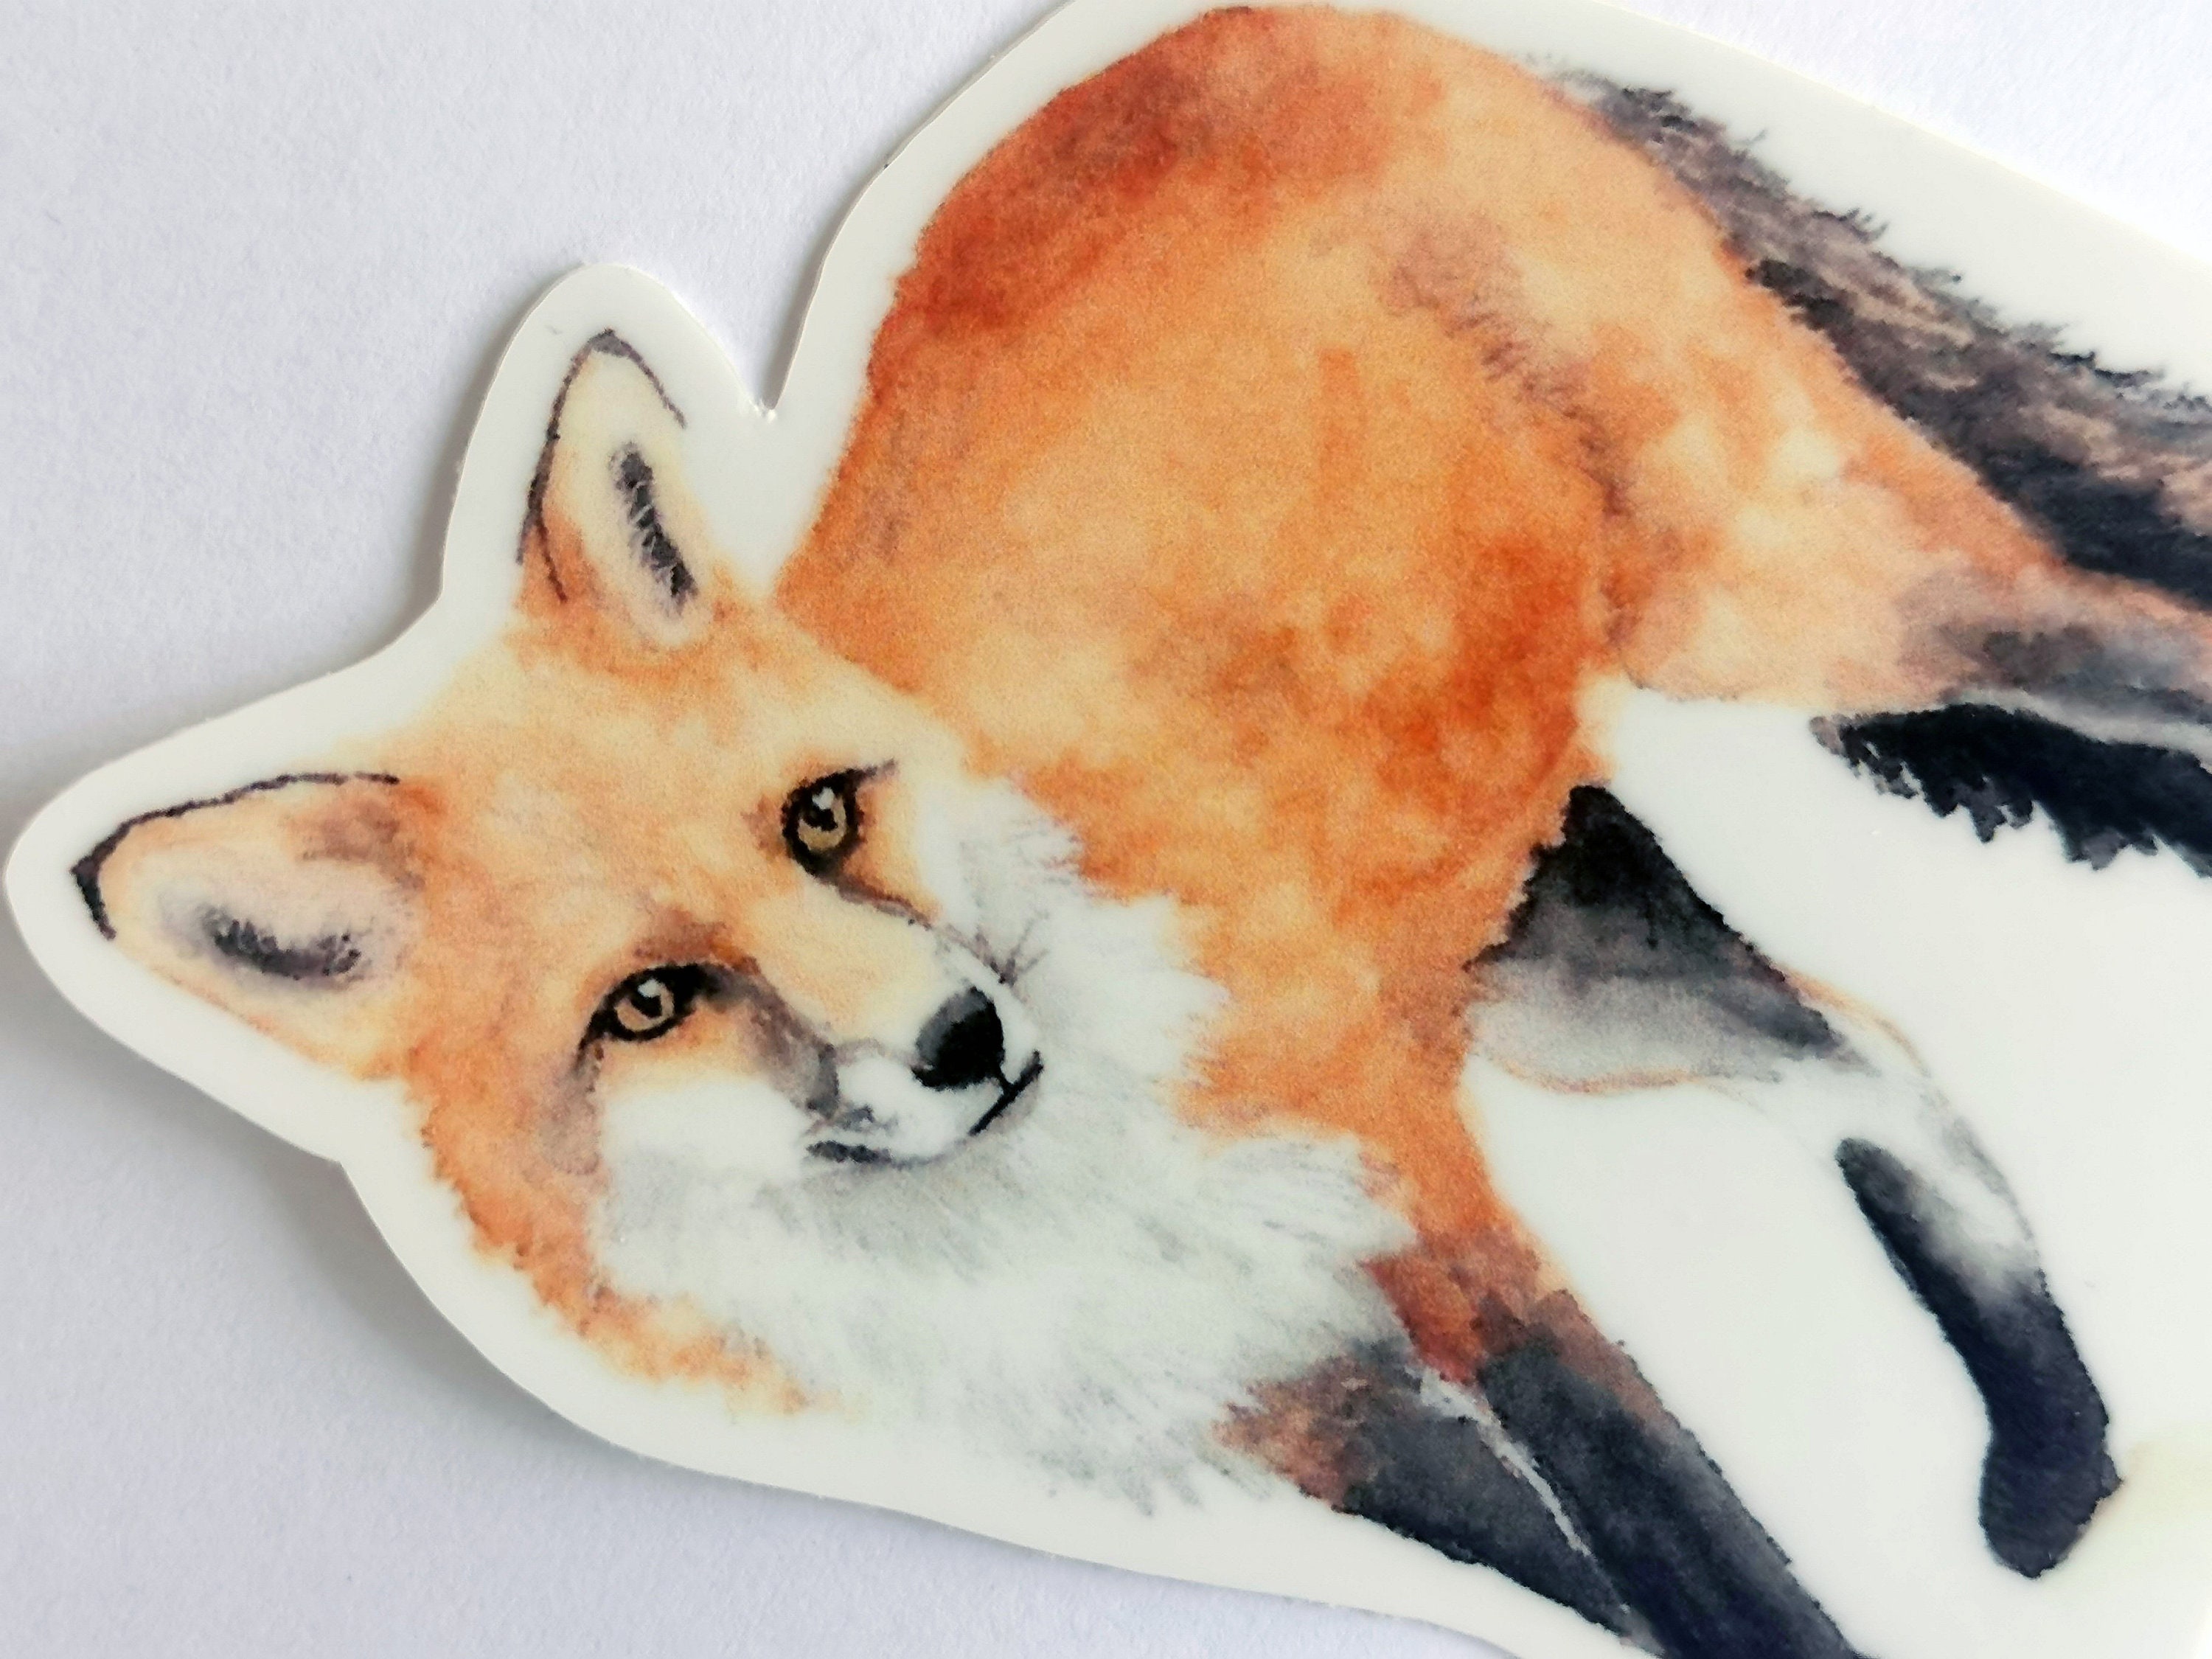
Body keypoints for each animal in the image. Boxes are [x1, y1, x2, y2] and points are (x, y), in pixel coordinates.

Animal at [30, 7, 2212, 1657]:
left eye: (820, 814)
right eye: (648, 1003)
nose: (959, 1042)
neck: (1024, 1221)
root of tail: (1227, 24)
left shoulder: (1435, 1228)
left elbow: (1712, 1561)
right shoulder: (1293, 1406)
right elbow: (1622, 1598)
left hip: (1817, 607)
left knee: (2148, 669)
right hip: (1552, 972)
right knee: (1867, 1049)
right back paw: (2055, 1464)